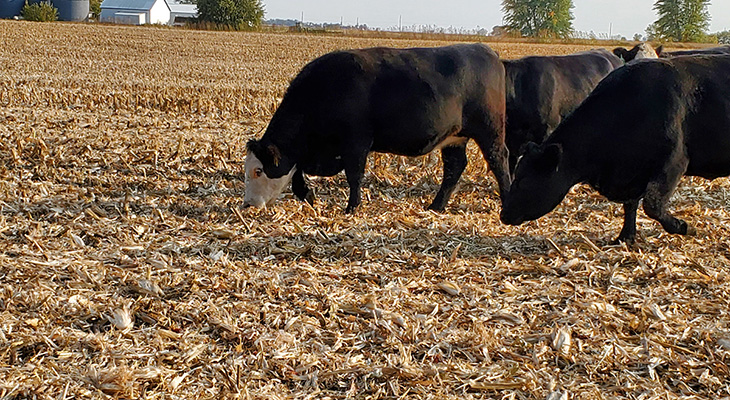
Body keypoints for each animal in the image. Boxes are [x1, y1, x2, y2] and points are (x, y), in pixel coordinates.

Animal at [244, 43, 511, 213]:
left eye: (258, 171)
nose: (247, 204)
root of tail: (486, 50)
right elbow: (297, 174)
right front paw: (309, 196)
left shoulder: (356, 143)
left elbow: (354, 176)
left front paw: (352, 207)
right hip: (455, 138)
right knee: (454, 168)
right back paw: (436, 206)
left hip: (490, 131)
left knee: (499, 161)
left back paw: (507, 201)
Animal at [500, 55, 730, 244]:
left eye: (524, 180)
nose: (503, 214)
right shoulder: (632, 173)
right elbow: (630, 205)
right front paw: (625, 237)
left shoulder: (672, 164)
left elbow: (652, 205)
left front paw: (684, 227)